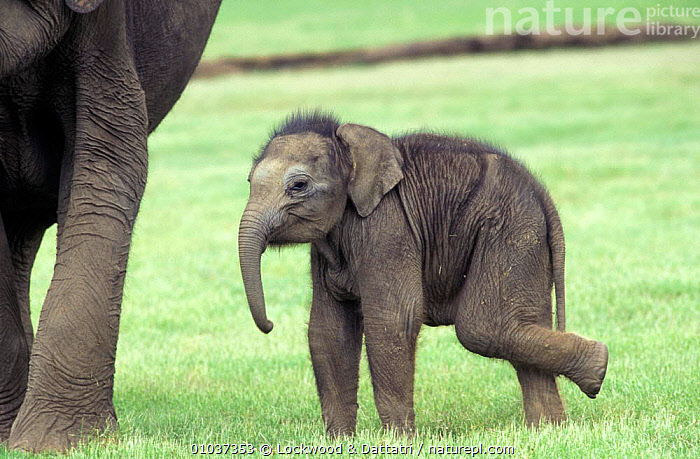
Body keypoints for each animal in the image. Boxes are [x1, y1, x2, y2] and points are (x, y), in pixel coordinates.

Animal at [239, 111, 609, 436]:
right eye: (249, 181)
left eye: (299, 185)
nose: (269, 325)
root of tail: (543, 194)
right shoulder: (326, 249)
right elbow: (328, 330)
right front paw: (339, 442)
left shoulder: (388, 227)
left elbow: (393, 319)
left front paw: (399, 441)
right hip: (526, 240)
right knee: (518, 323)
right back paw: (553, 425)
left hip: (512, 231)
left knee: (484, 326)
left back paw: (597, 369)